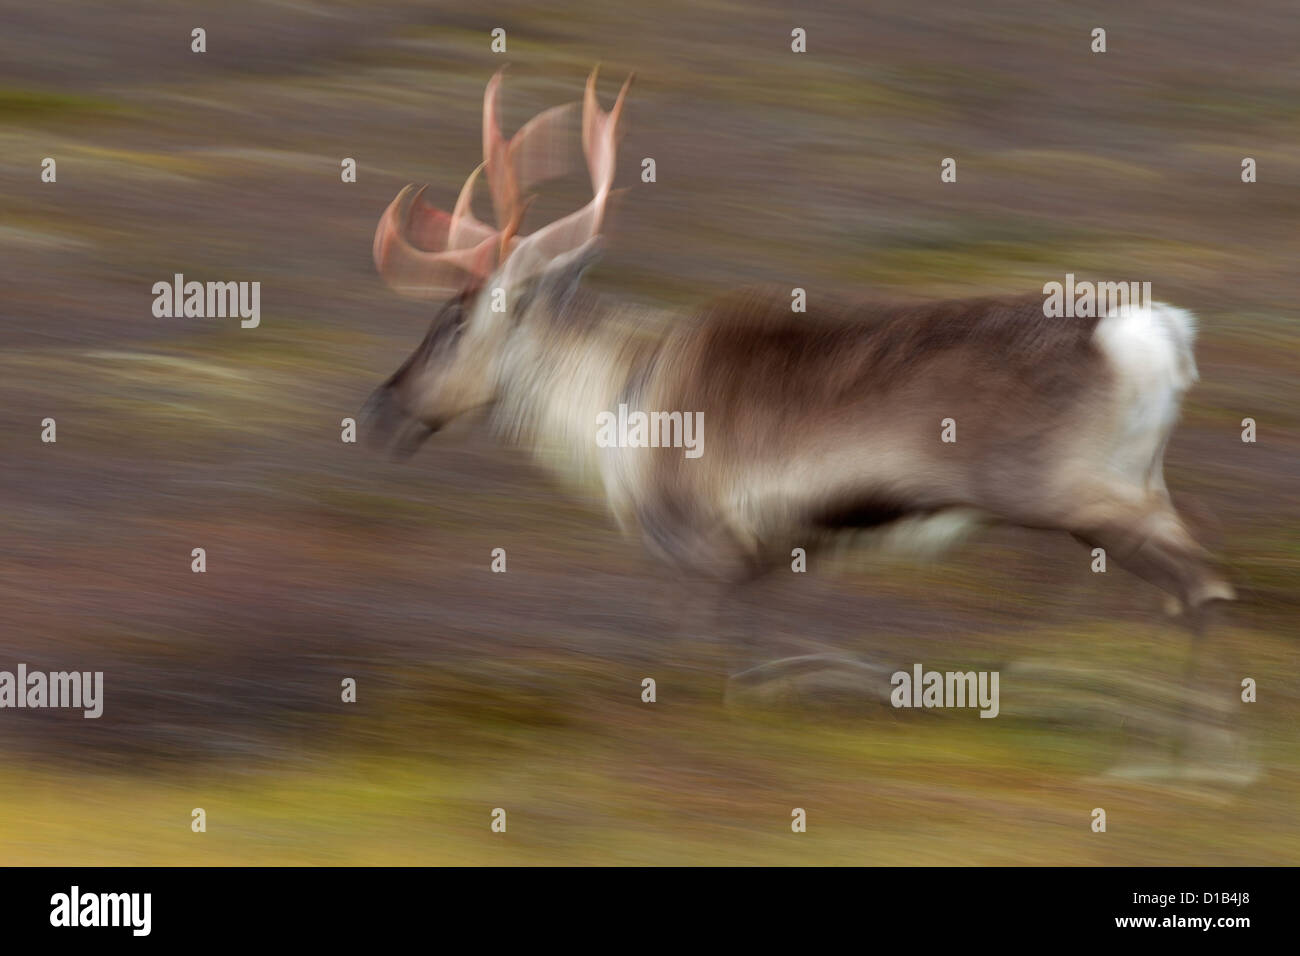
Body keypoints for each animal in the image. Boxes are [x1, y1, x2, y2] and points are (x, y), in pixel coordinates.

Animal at [363, 68, 1236, 682]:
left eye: (451, 322)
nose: (378, 410)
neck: (616, 397)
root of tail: (1155, 332)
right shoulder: (766, 561)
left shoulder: (702, 547)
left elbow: (713, 661)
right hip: (1136, 486)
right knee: (1193, 587)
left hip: (1081, 494)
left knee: (1205, 589)